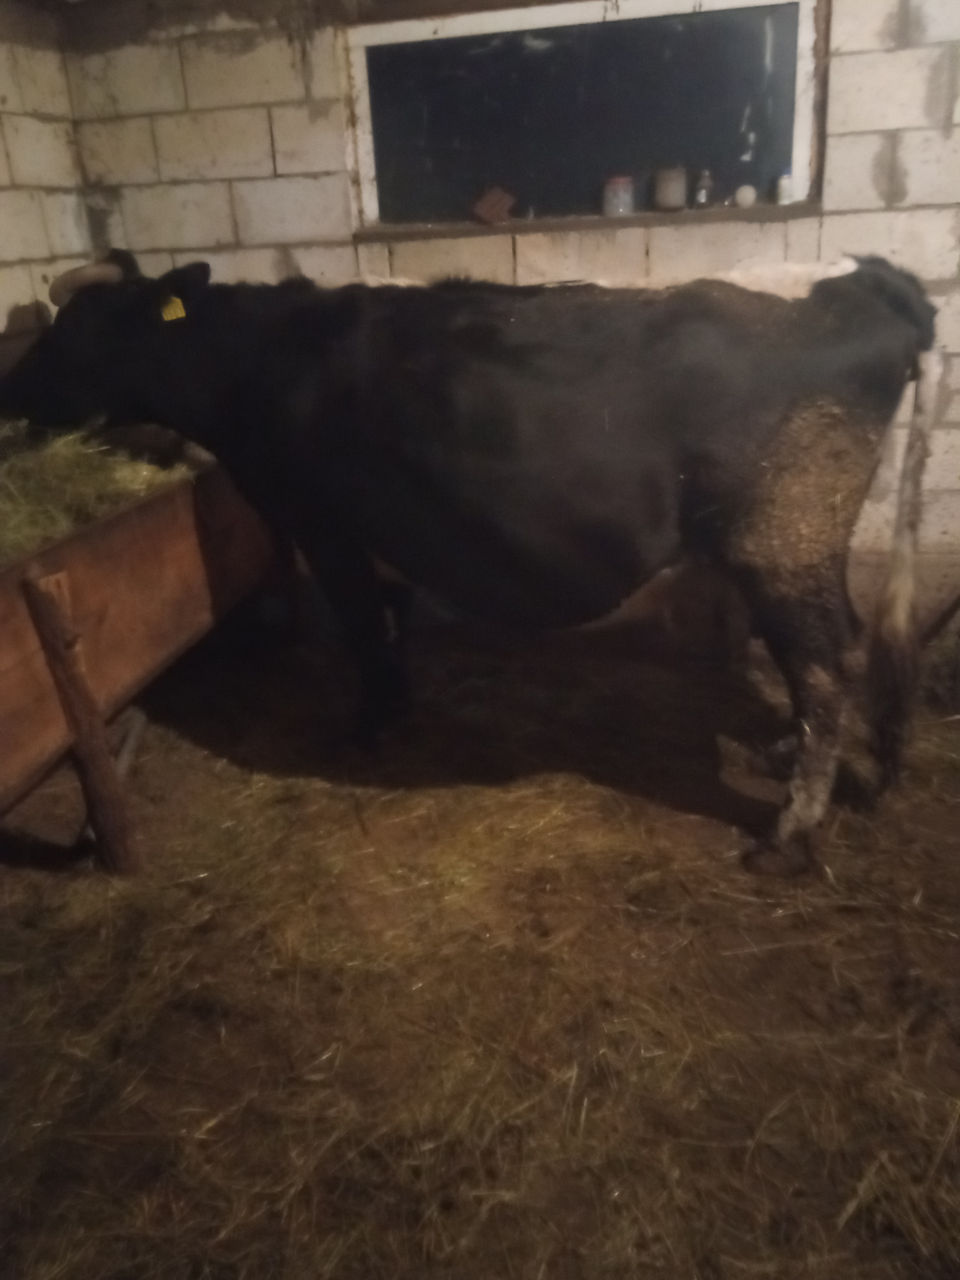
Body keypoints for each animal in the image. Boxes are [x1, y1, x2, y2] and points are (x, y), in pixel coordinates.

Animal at [0, 250, 939, 877]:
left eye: (80, 332)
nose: (11, 392)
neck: (267, 360)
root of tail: (870, 276)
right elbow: (391, 619)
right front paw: (398, 707)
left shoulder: (325, 523)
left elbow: (362, 629)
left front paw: (368, 724)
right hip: (798, 544)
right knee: (833, 656)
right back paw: (784, 754)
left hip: (784, 536)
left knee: (826, 663)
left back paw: (787, 835)